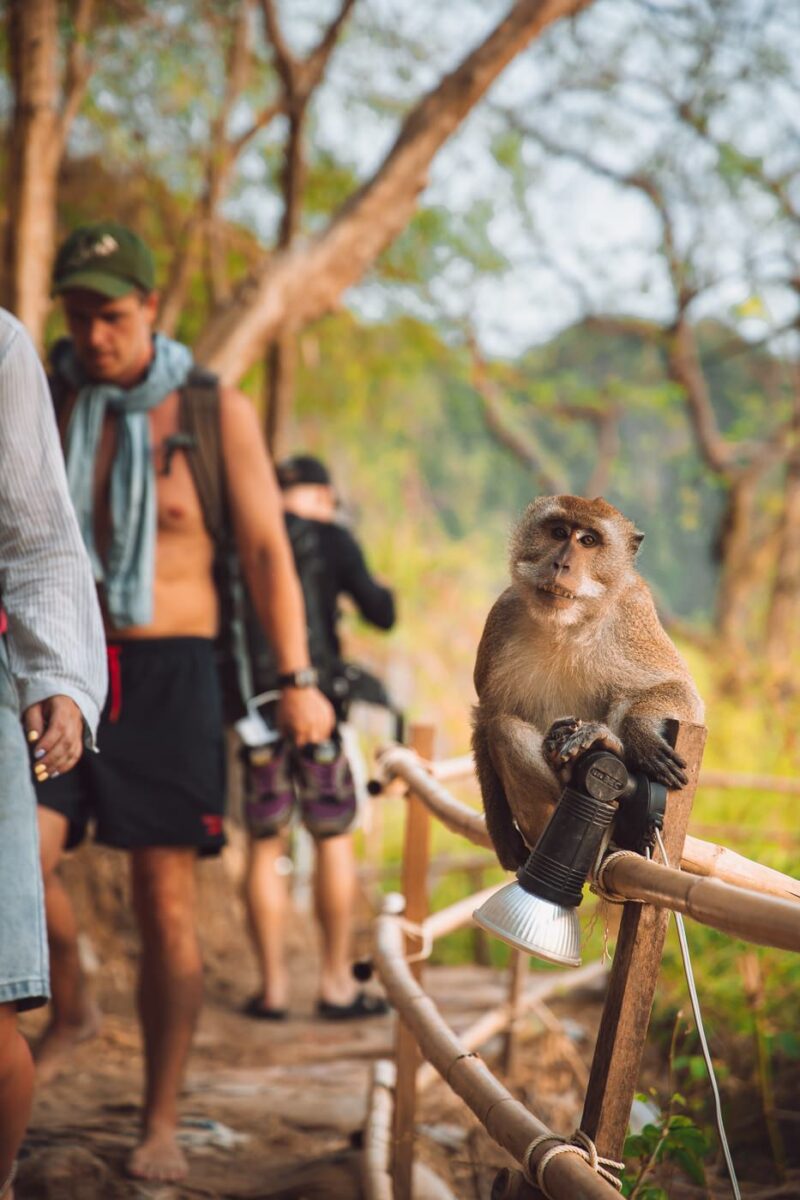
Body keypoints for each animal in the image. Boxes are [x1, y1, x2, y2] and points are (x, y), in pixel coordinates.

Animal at [471, 494, 704, 871]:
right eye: (558, 532)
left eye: (588, 541)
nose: (561, 563)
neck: (566, 624)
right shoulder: (502, 615)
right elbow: (489, 713)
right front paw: (500, 829)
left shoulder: (634, 613)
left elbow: (680, 690)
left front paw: (638, 733)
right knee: (505, 730)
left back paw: (608, 746)